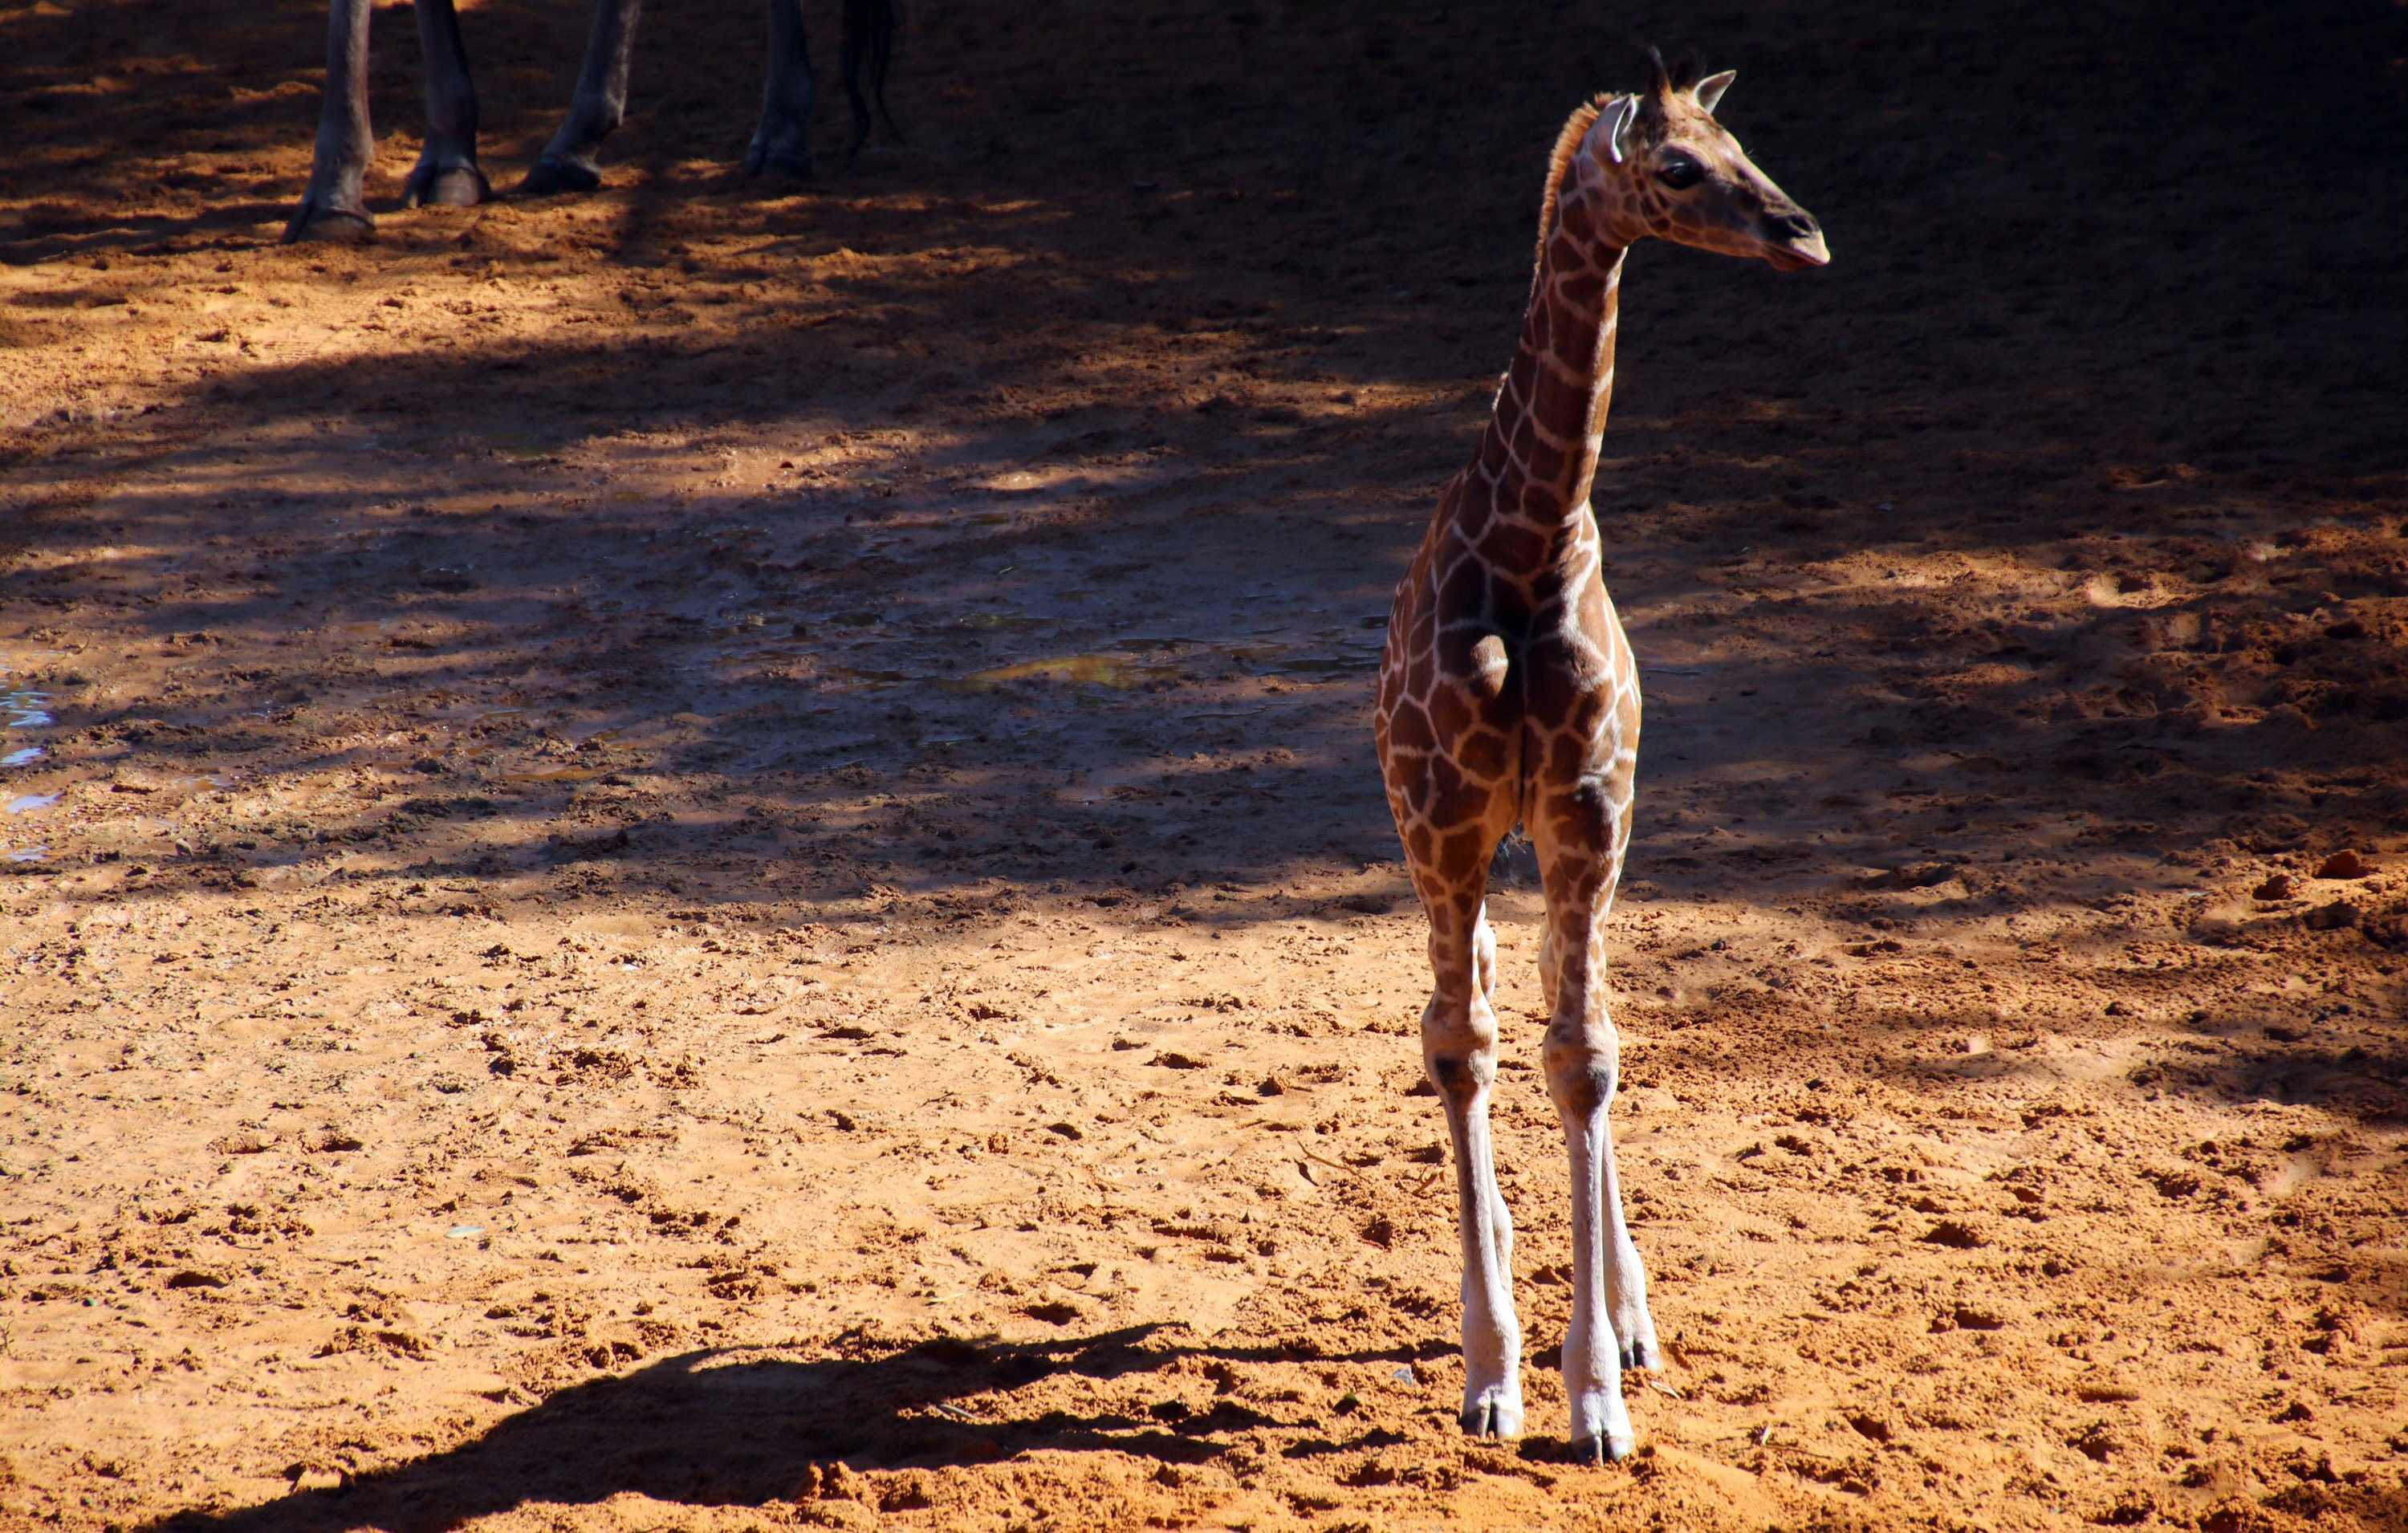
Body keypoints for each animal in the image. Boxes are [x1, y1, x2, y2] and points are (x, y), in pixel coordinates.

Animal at [1373, 53, 1828, 1463]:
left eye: (1740, 144)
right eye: (1676, 168)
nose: (1804, 233)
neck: (1530, 540)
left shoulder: (1586, 813)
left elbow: (1585, 1053)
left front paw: (1596, 1394)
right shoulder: (1447, 826)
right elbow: (1461, 1044)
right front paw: (1494, 1371)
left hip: (1591, 840)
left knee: (1580, 1013)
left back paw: (1628, 1317)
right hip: (1453, 840)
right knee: (1473, 1012)